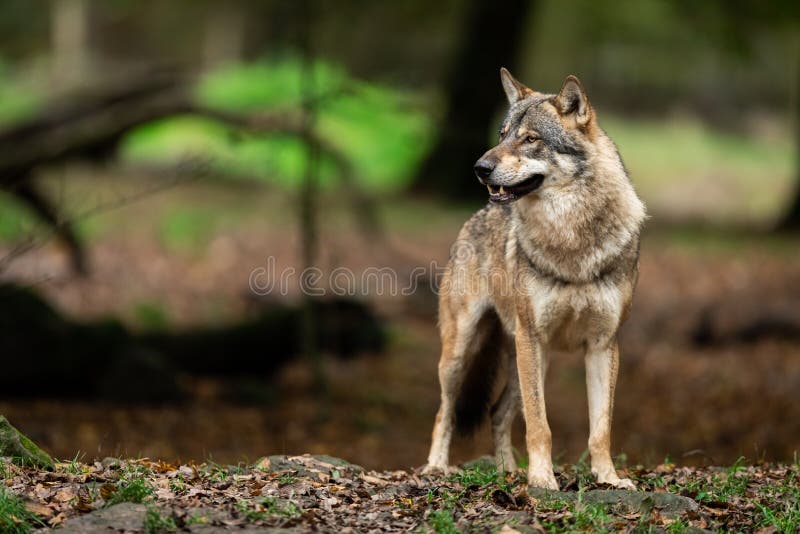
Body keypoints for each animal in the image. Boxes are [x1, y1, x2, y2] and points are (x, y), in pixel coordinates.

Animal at [423, 69, 646, 490]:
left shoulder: (603, 345)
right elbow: (540, 425)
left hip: (527, 361)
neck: (571, 240)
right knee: (446, 412)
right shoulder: (533, 337)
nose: (479, 167)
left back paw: (508, 471)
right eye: (502, 134)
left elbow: (601, 428)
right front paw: (542, 480)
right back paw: (436, 468)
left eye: (530, 139)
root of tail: (476, 216)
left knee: (497, 413)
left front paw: (609, 478)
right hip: (466, 354)